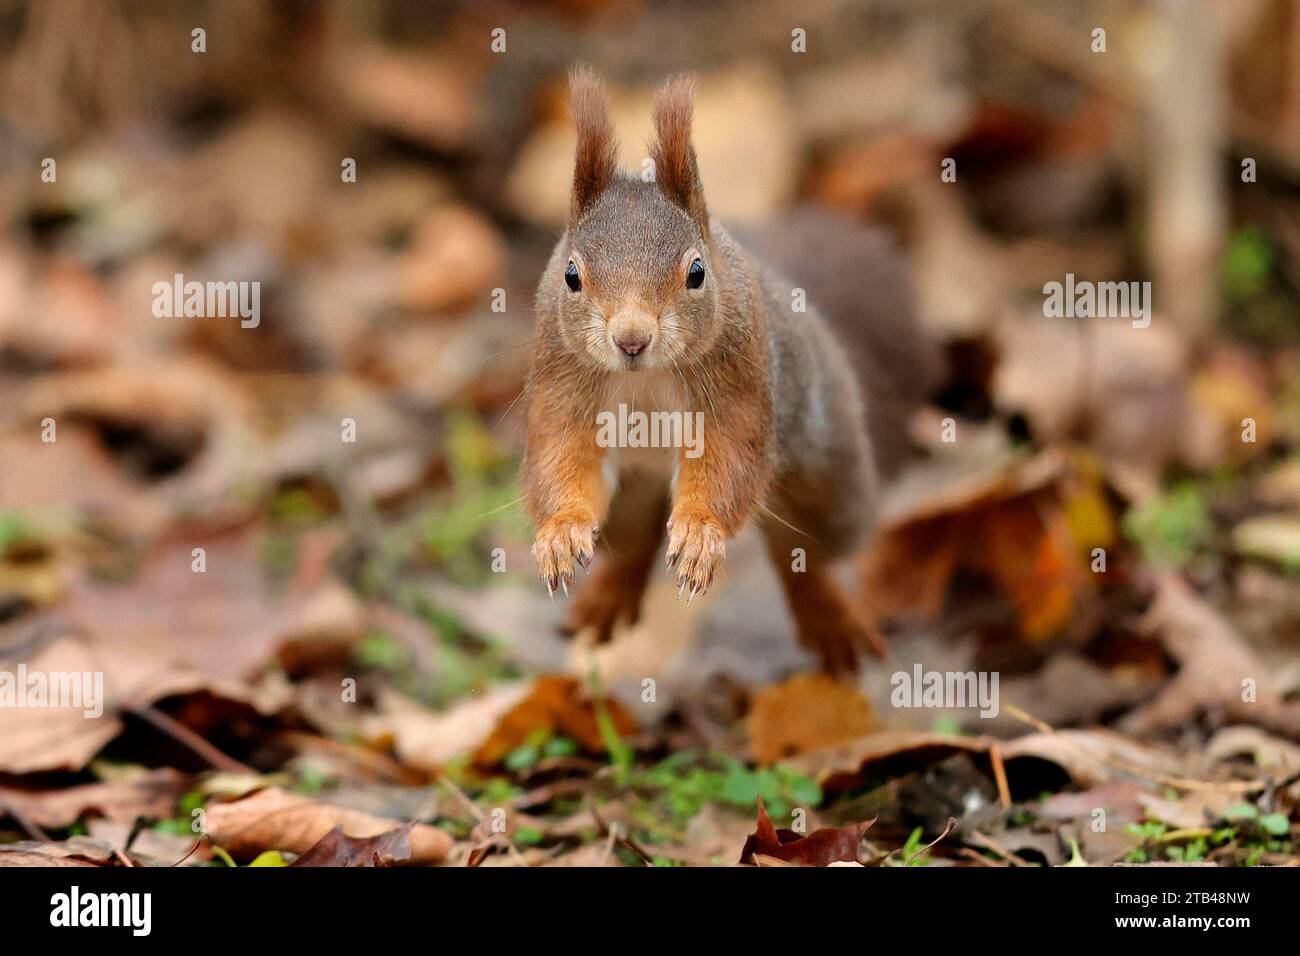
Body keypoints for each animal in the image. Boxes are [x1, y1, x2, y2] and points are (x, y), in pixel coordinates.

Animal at [521, 68, 938, 675]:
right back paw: (608, 596)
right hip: (633, 499)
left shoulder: (739, 376)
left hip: (831, 484)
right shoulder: (561, 377)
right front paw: (559, 533)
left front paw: (699, 534)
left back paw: (828, 616)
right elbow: (563, 457)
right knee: (636, 542)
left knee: (805, 554)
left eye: (696, 272)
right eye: (571, 276)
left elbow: (728, 458)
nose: (631, 340)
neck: (646, 376)